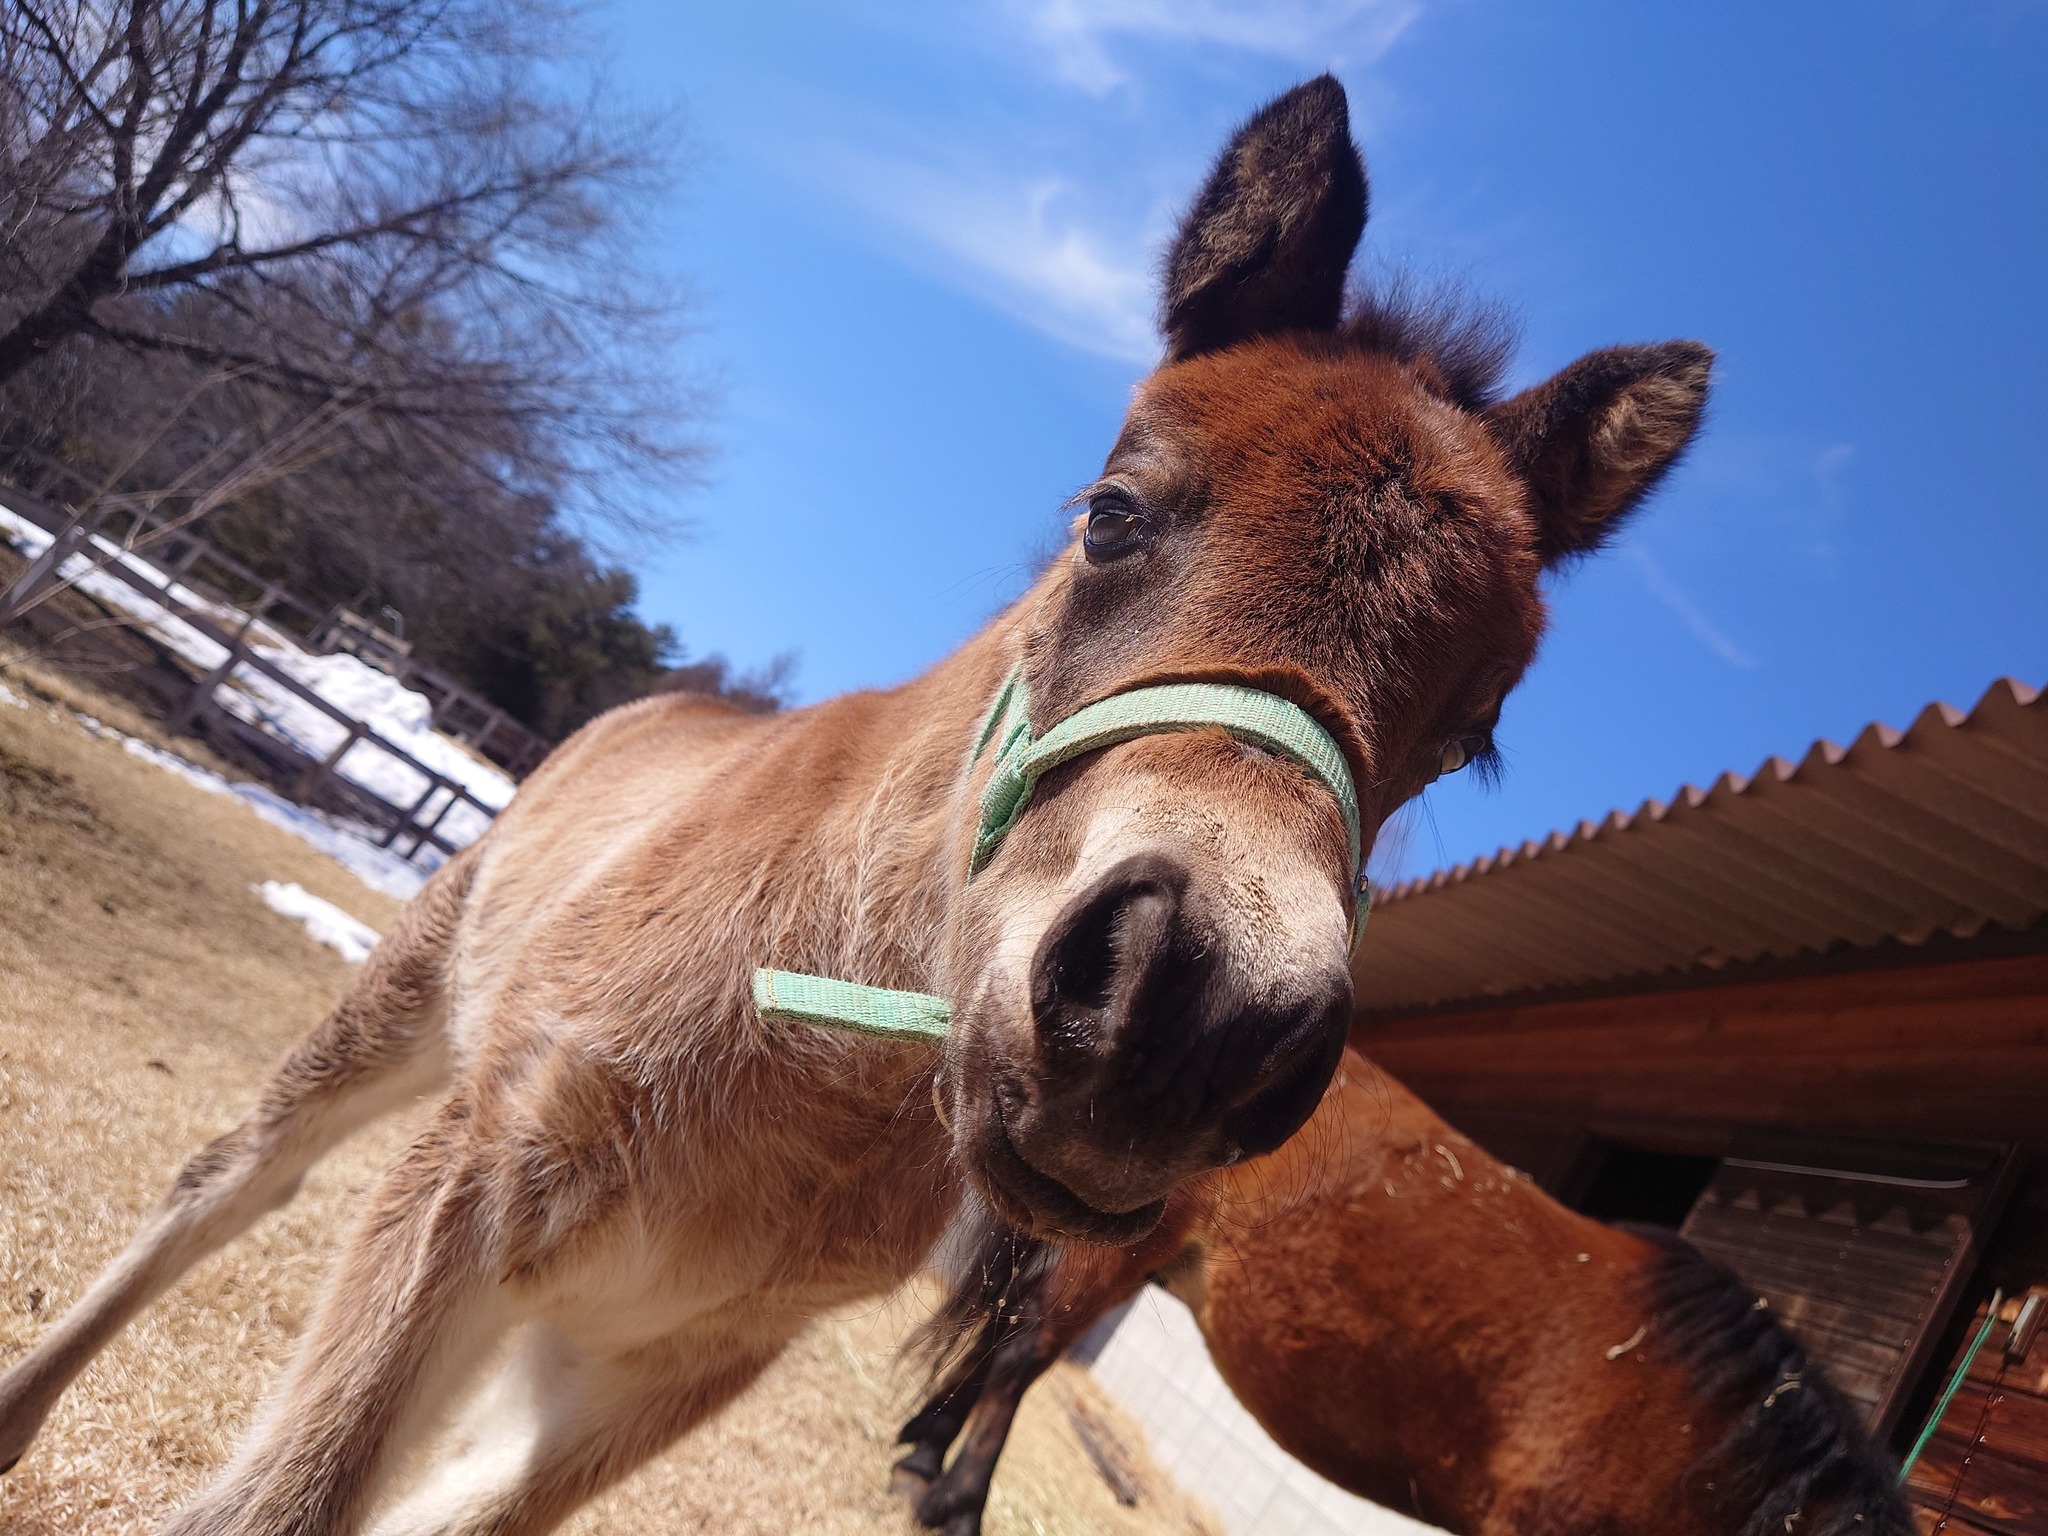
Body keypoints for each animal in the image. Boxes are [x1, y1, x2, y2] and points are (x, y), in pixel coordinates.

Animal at [0, 77, 1713, 1536]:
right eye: (1112, 517)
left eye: (1475, 736)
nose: (1195, 1022)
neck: (800, 1072)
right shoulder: (471, 1192)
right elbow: (271, 1502)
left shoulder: (683, 1357)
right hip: (418, 992)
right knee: (237, 1175)